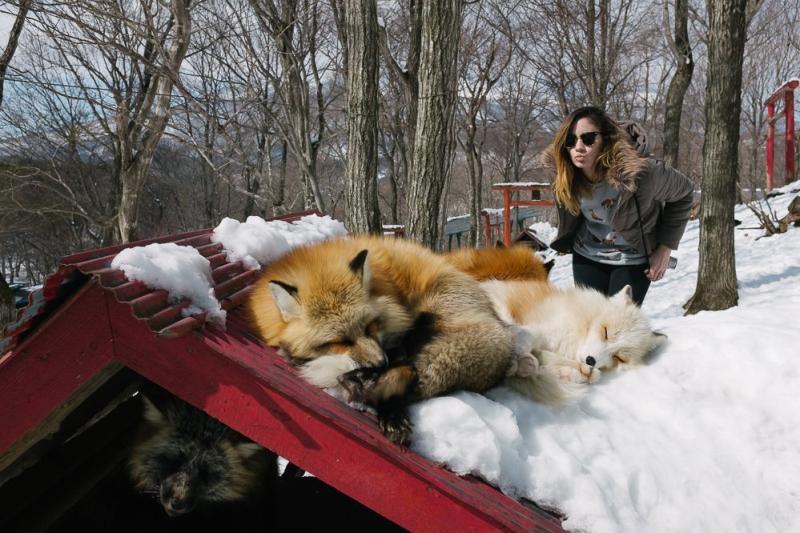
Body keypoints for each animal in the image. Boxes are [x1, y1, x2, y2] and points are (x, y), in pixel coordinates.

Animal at [247, 235, 565, 445]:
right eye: (340, 340)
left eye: (370, 325)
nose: (379, 362)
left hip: (432, 324)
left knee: (408, 372)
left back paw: (379, 400)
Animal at [481, 279, 667, 383]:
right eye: (606, 332)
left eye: (619, 358)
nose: (591, 360)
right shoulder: (543, 328)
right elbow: (528, 336)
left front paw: (575, 373)